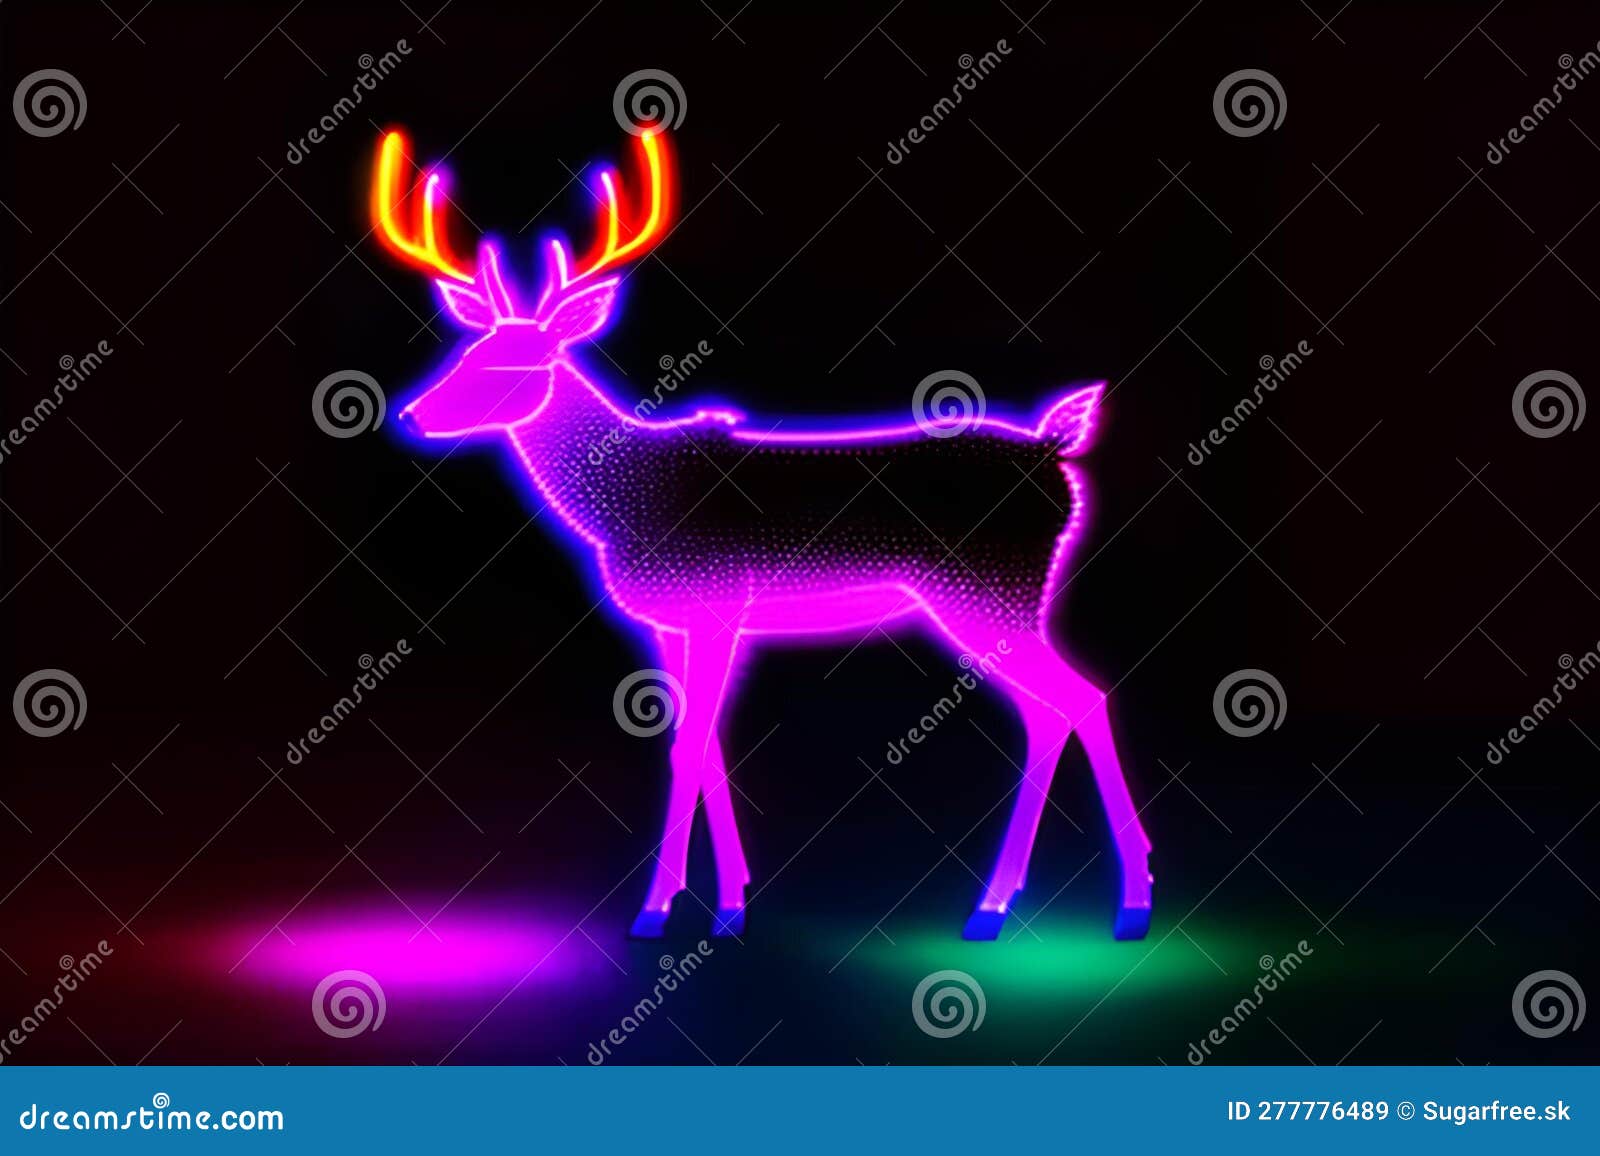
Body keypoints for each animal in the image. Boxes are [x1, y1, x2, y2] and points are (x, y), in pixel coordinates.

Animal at [371, 123, 1153, 943]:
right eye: (469, 350)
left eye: (516, 361)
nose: (414, 413)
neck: (625, 499)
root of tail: (1056, 452)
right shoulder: (672, 620)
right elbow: (705, 744)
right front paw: (731, 906)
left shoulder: (715, 600)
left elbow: (688, 750)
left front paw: (654, 914)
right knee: (1049, 712)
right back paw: (1000, 907)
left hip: (988, 592)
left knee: (1083, 697)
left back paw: (1120, 906)